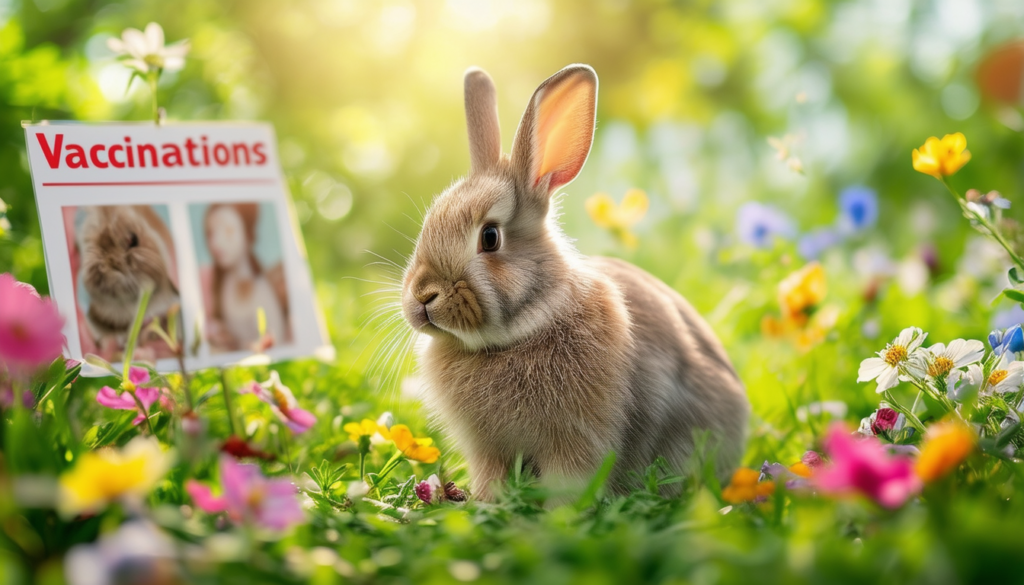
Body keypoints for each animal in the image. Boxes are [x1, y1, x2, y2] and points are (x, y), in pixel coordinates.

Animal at [400, 64, 750, 501]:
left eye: (490, 237)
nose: (422, 297)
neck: (514, 336)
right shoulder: (488, 449)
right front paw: (487, 501)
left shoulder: (579, 437)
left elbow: (571, 477)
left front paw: (558, 509)